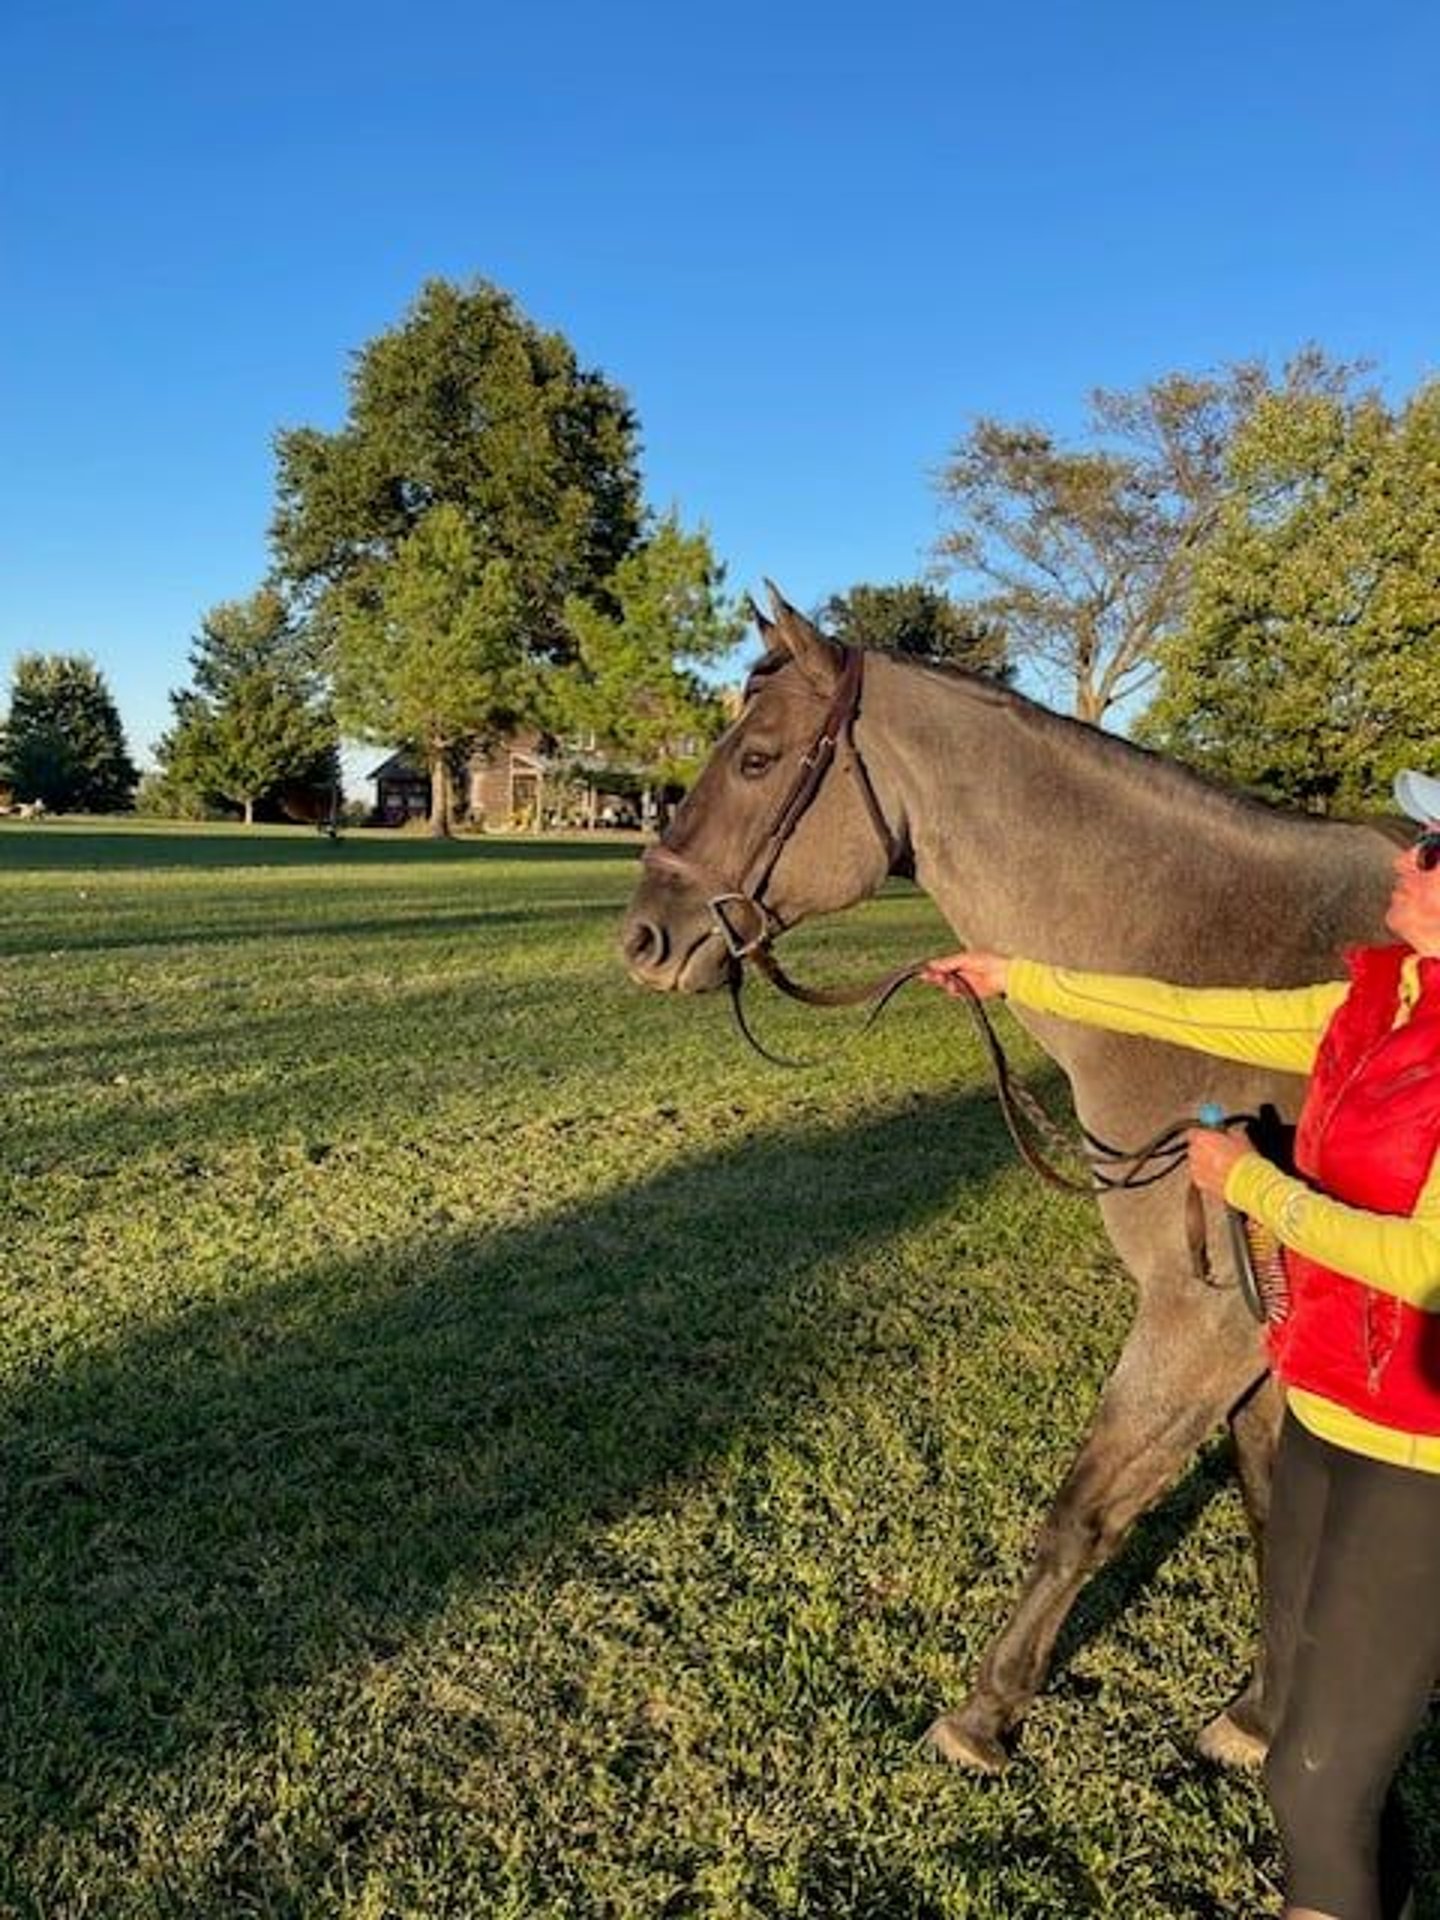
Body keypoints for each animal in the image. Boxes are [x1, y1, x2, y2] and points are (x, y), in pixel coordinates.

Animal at [619, 588, 1399, 1772]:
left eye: (755, 759)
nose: (643, 941)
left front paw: (986, 1713)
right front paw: (1262, 1715)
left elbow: (1085, 1511)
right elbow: (1272, 1510)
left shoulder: (1204, 1319)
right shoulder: (1263, 1330)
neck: (1215, 975)